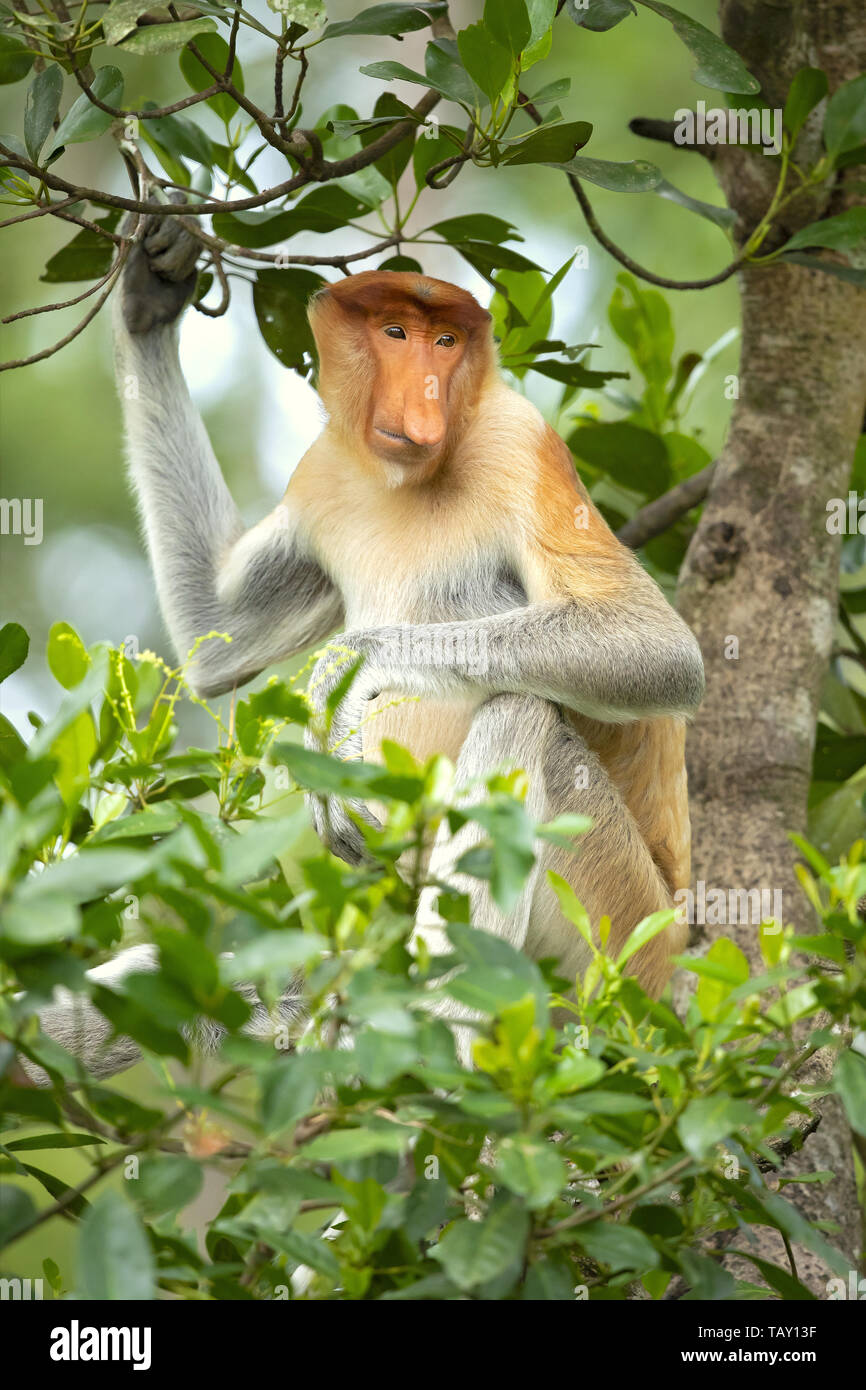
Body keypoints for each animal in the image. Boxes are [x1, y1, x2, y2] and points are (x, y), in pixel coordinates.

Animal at [15, 213, 703, 1083]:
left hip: (615, 936)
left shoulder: (519, 444)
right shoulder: (324, 474)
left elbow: (659, 650)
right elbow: (220, 633)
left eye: (447, 341)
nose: (426, 402)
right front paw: (152, 289)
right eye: (395, 332)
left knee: (525, 716)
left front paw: (343, 680)